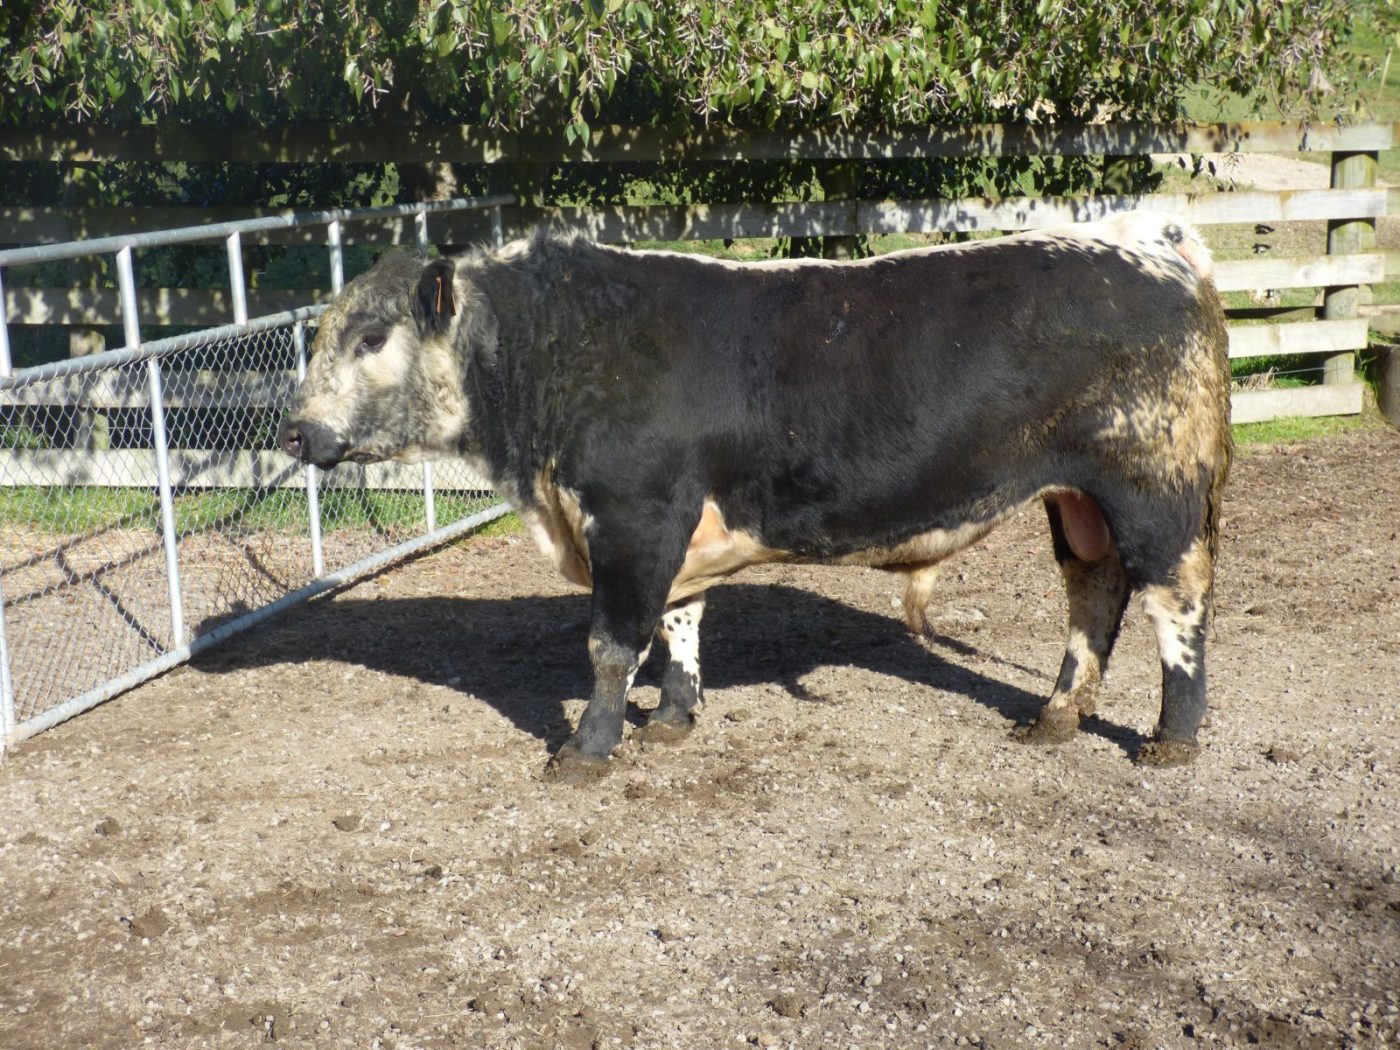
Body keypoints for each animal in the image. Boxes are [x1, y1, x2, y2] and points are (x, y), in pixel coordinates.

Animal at [278, 213, 1232, 781]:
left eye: (371, 337)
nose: (294, 432)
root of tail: (1149, 243)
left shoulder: (633, 516)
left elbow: (612, 643)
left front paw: (587, 749)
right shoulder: (675, 531)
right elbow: (679, 625)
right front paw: (673, 720)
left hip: (1153, 491)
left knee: (1174, 602)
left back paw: (1171, 738)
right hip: (1078, 501)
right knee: (1093, 595)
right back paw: (1057, 715)